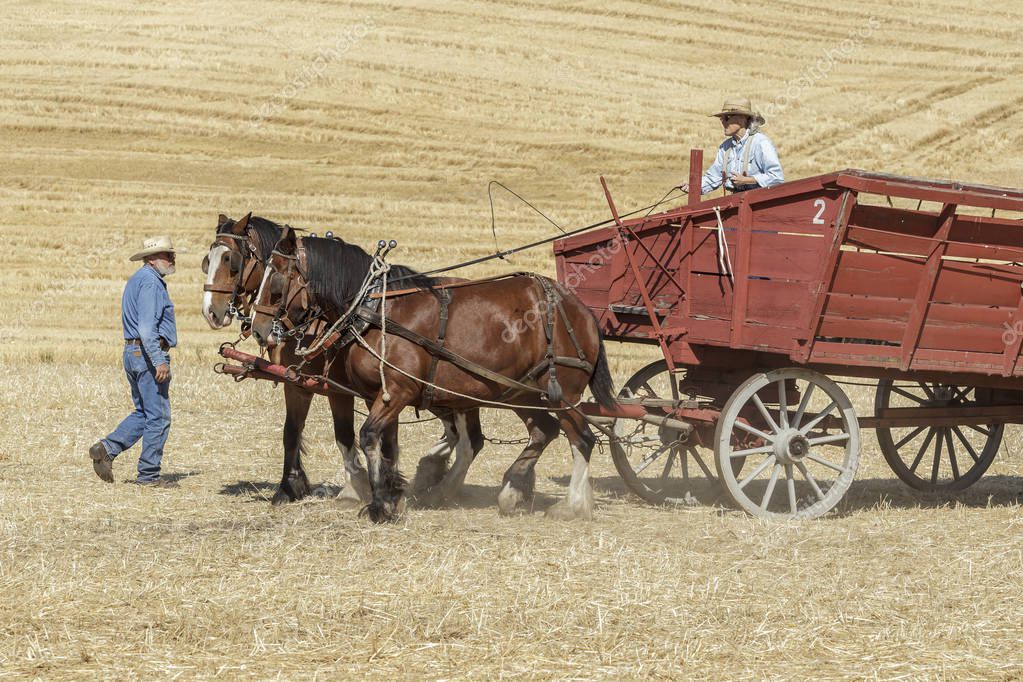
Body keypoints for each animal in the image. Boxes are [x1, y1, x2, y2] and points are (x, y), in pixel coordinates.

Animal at [202, 214, 485, 507]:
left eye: (231, 261)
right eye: (207, 261)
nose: (211, 312)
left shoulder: (338, 388)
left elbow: (344, 435)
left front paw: (355, 487)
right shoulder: (297, 383)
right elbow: (291, 431)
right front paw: (289, 487)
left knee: (470, 439)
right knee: (456, 432)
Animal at [248, 227, 618, 523]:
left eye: (276, 277)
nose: (258, 327)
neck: (377, 310)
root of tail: (579, 308)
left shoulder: (395, 392)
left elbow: (368, 438)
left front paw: (379, 505)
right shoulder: (376, 396)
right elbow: (387, 446)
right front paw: (393, 495)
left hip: (562, 392)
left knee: (582, 438)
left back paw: (573, 504)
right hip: (522, 391)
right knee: (543, 431)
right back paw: (508, 490)